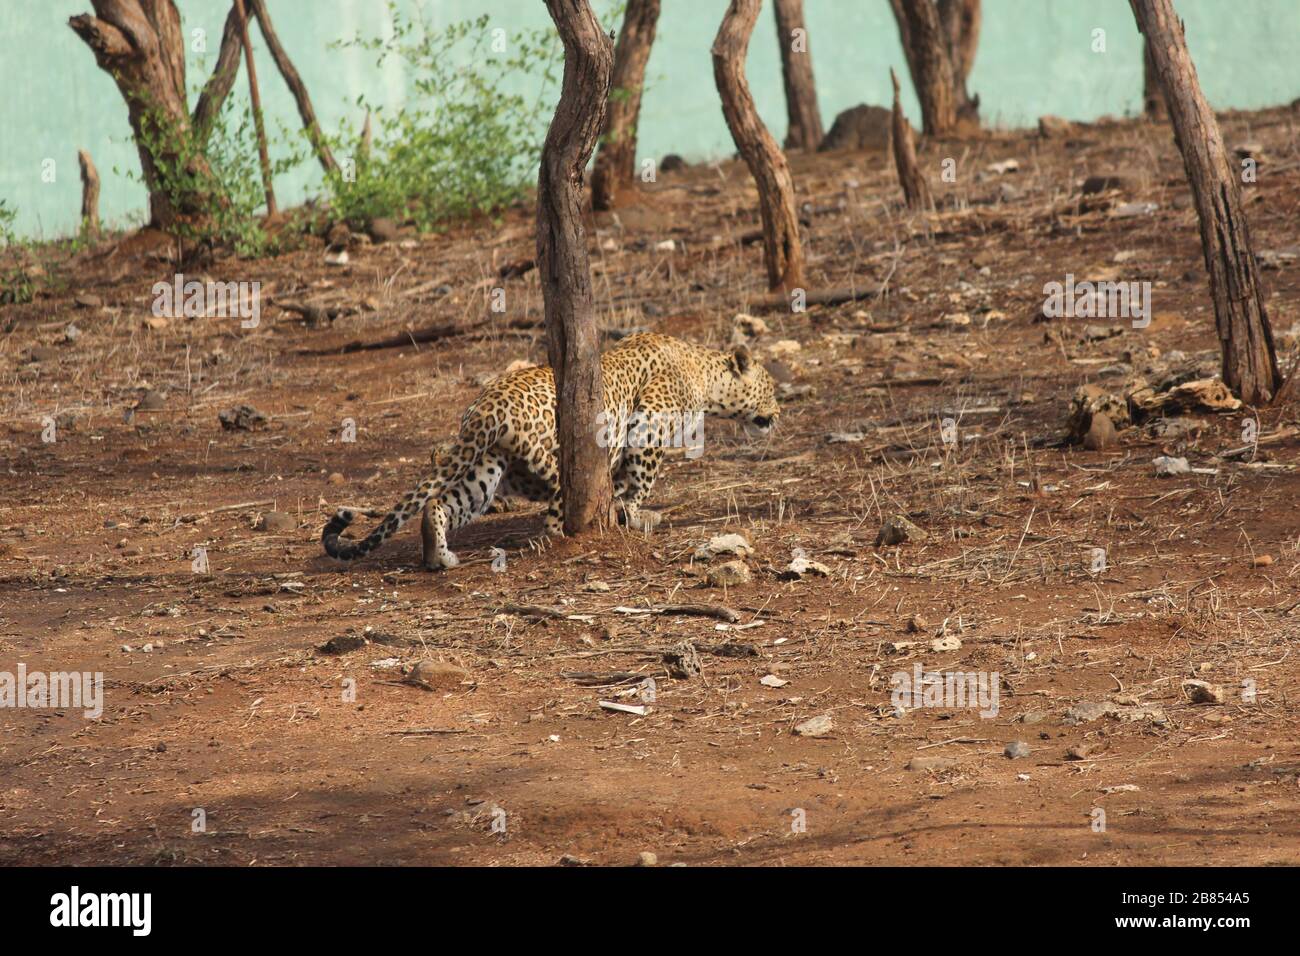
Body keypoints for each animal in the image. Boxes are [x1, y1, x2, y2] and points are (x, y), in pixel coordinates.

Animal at [321, 332, 780, 570]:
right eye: (771, 388)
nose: (778, 413)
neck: (703, 371)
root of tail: (488, 404)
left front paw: (624, 508)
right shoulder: (648, 422)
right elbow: (640, 481)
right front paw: (637, 516)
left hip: (487, 468)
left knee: (439, 502)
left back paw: (440, 556)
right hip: (553, 459)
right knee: (554, 515)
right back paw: (559, 538)